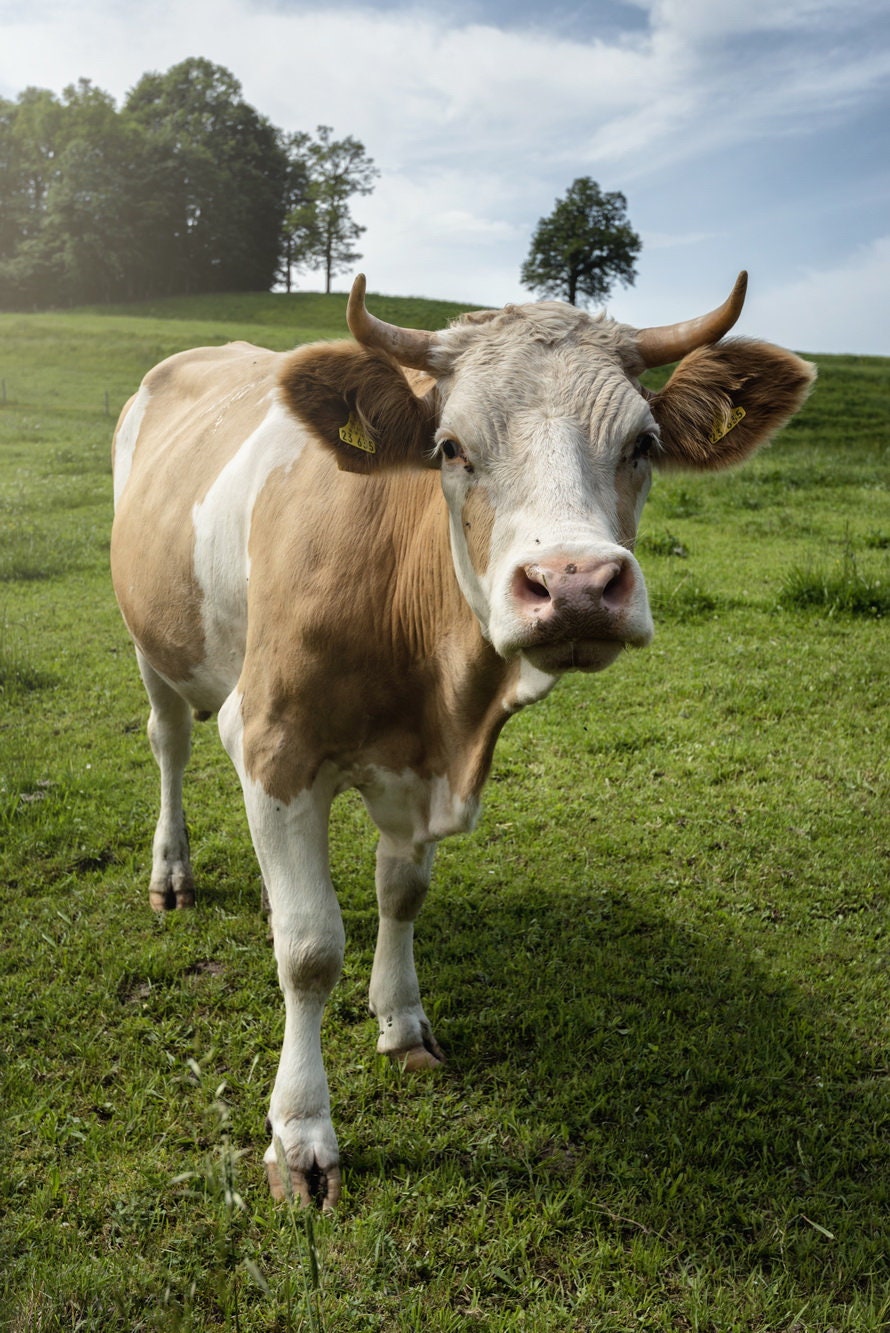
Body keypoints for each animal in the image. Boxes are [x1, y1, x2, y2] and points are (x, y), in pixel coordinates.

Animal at [110, 272, 814, 1209]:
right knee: (169, 747)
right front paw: (301, 1134)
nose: (576, 585)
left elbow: (401, 892)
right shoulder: (272, 738)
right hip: (155, 644)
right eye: (448, 447)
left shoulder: (419, 767)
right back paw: (172, 872)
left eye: (644, 443)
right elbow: (309, 948)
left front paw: (402, 1020)